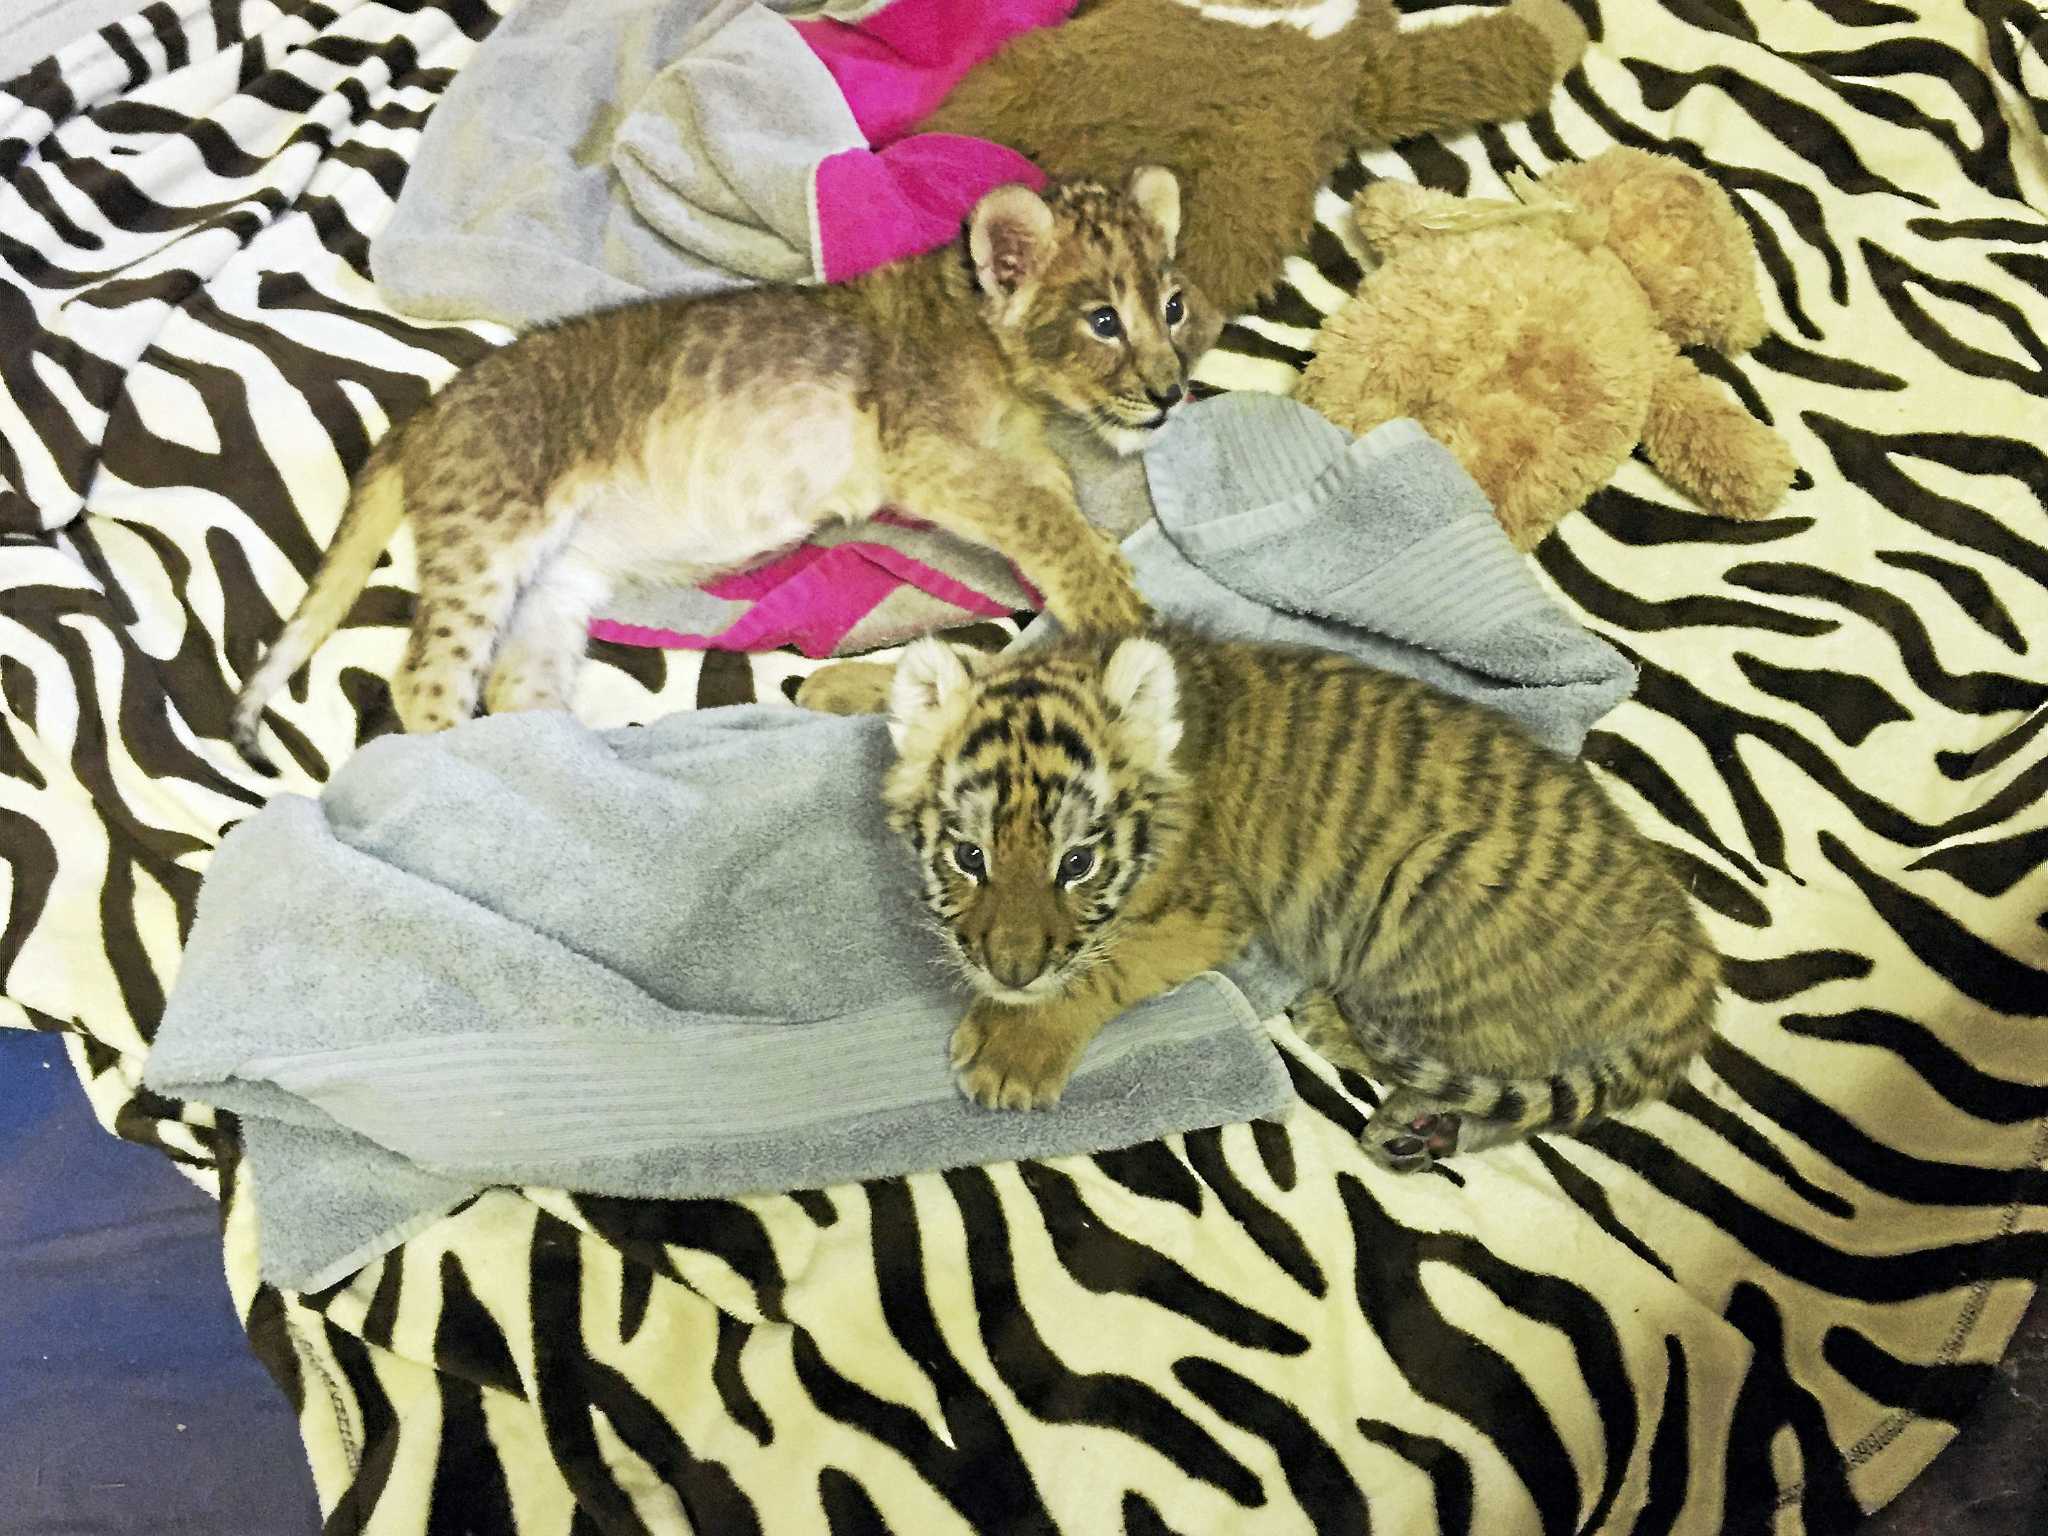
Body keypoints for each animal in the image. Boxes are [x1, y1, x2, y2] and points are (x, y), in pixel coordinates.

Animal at [797, 623, 1721, 1170]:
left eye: (1077, 865)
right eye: (970, 856)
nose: (1012, 973)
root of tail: (1693, 962)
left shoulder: (1209, 914)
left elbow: (1106, 966)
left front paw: (1013, 1049)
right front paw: (837, 685)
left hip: (1425, 893)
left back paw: (1346, 1040)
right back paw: (1413, 1129)